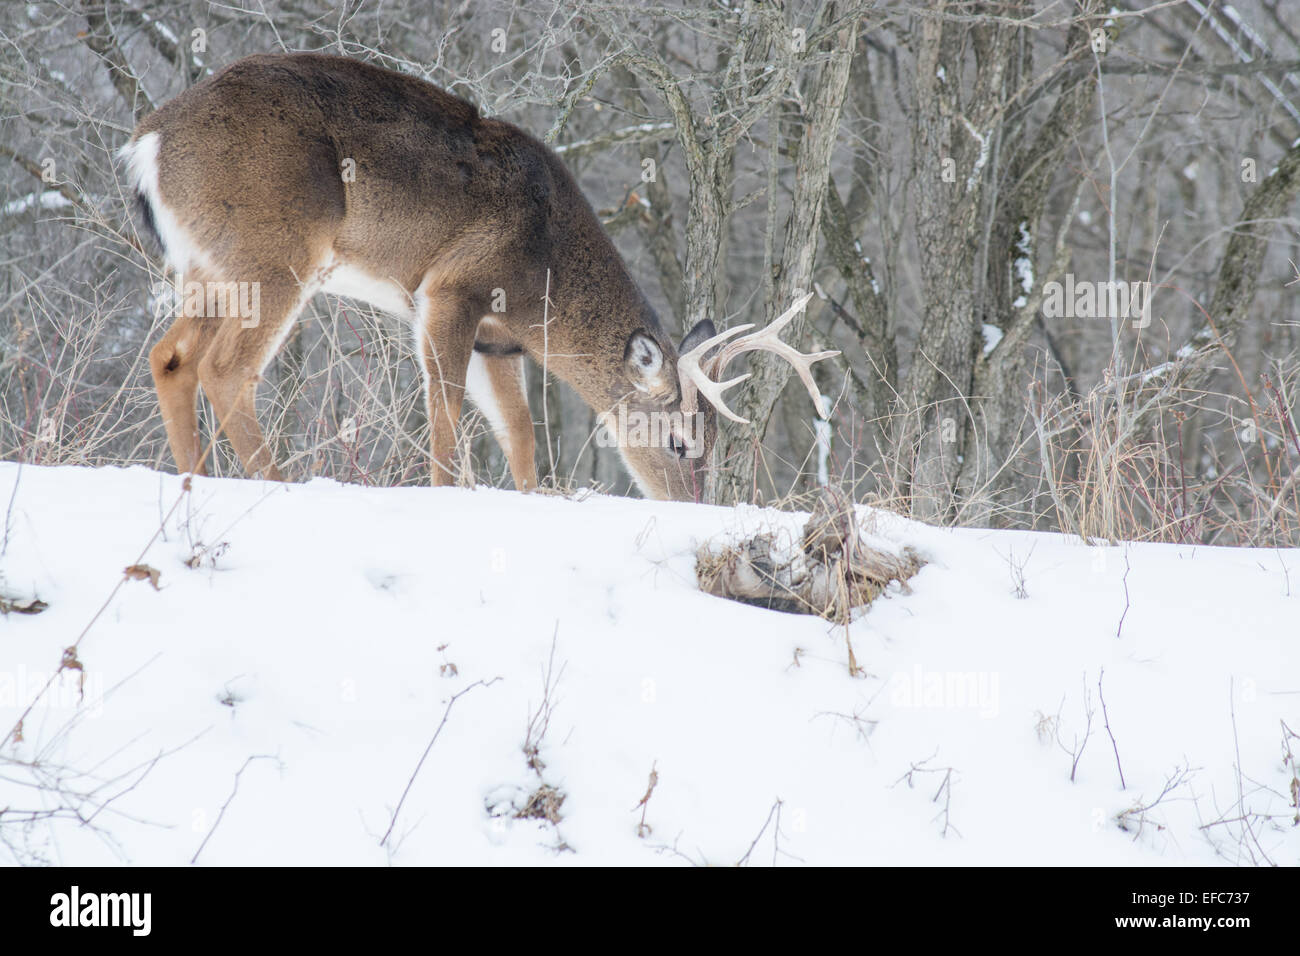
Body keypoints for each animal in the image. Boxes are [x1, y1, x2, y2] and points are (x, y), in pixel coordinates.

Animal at [120, 52, 836, 501]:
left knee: (170, 357)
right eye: (682, 441)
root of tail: (147, 142)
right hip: (275, 252)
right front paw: (446, 494)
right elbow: (444, 411)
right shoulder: (451, 289)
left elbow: (519, 434)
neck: (544, 267)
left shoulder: (502, 341)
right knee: (224, 368)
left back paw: (195, 480)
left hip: (209, 268)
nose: (691, 505)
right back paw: (274, 485)